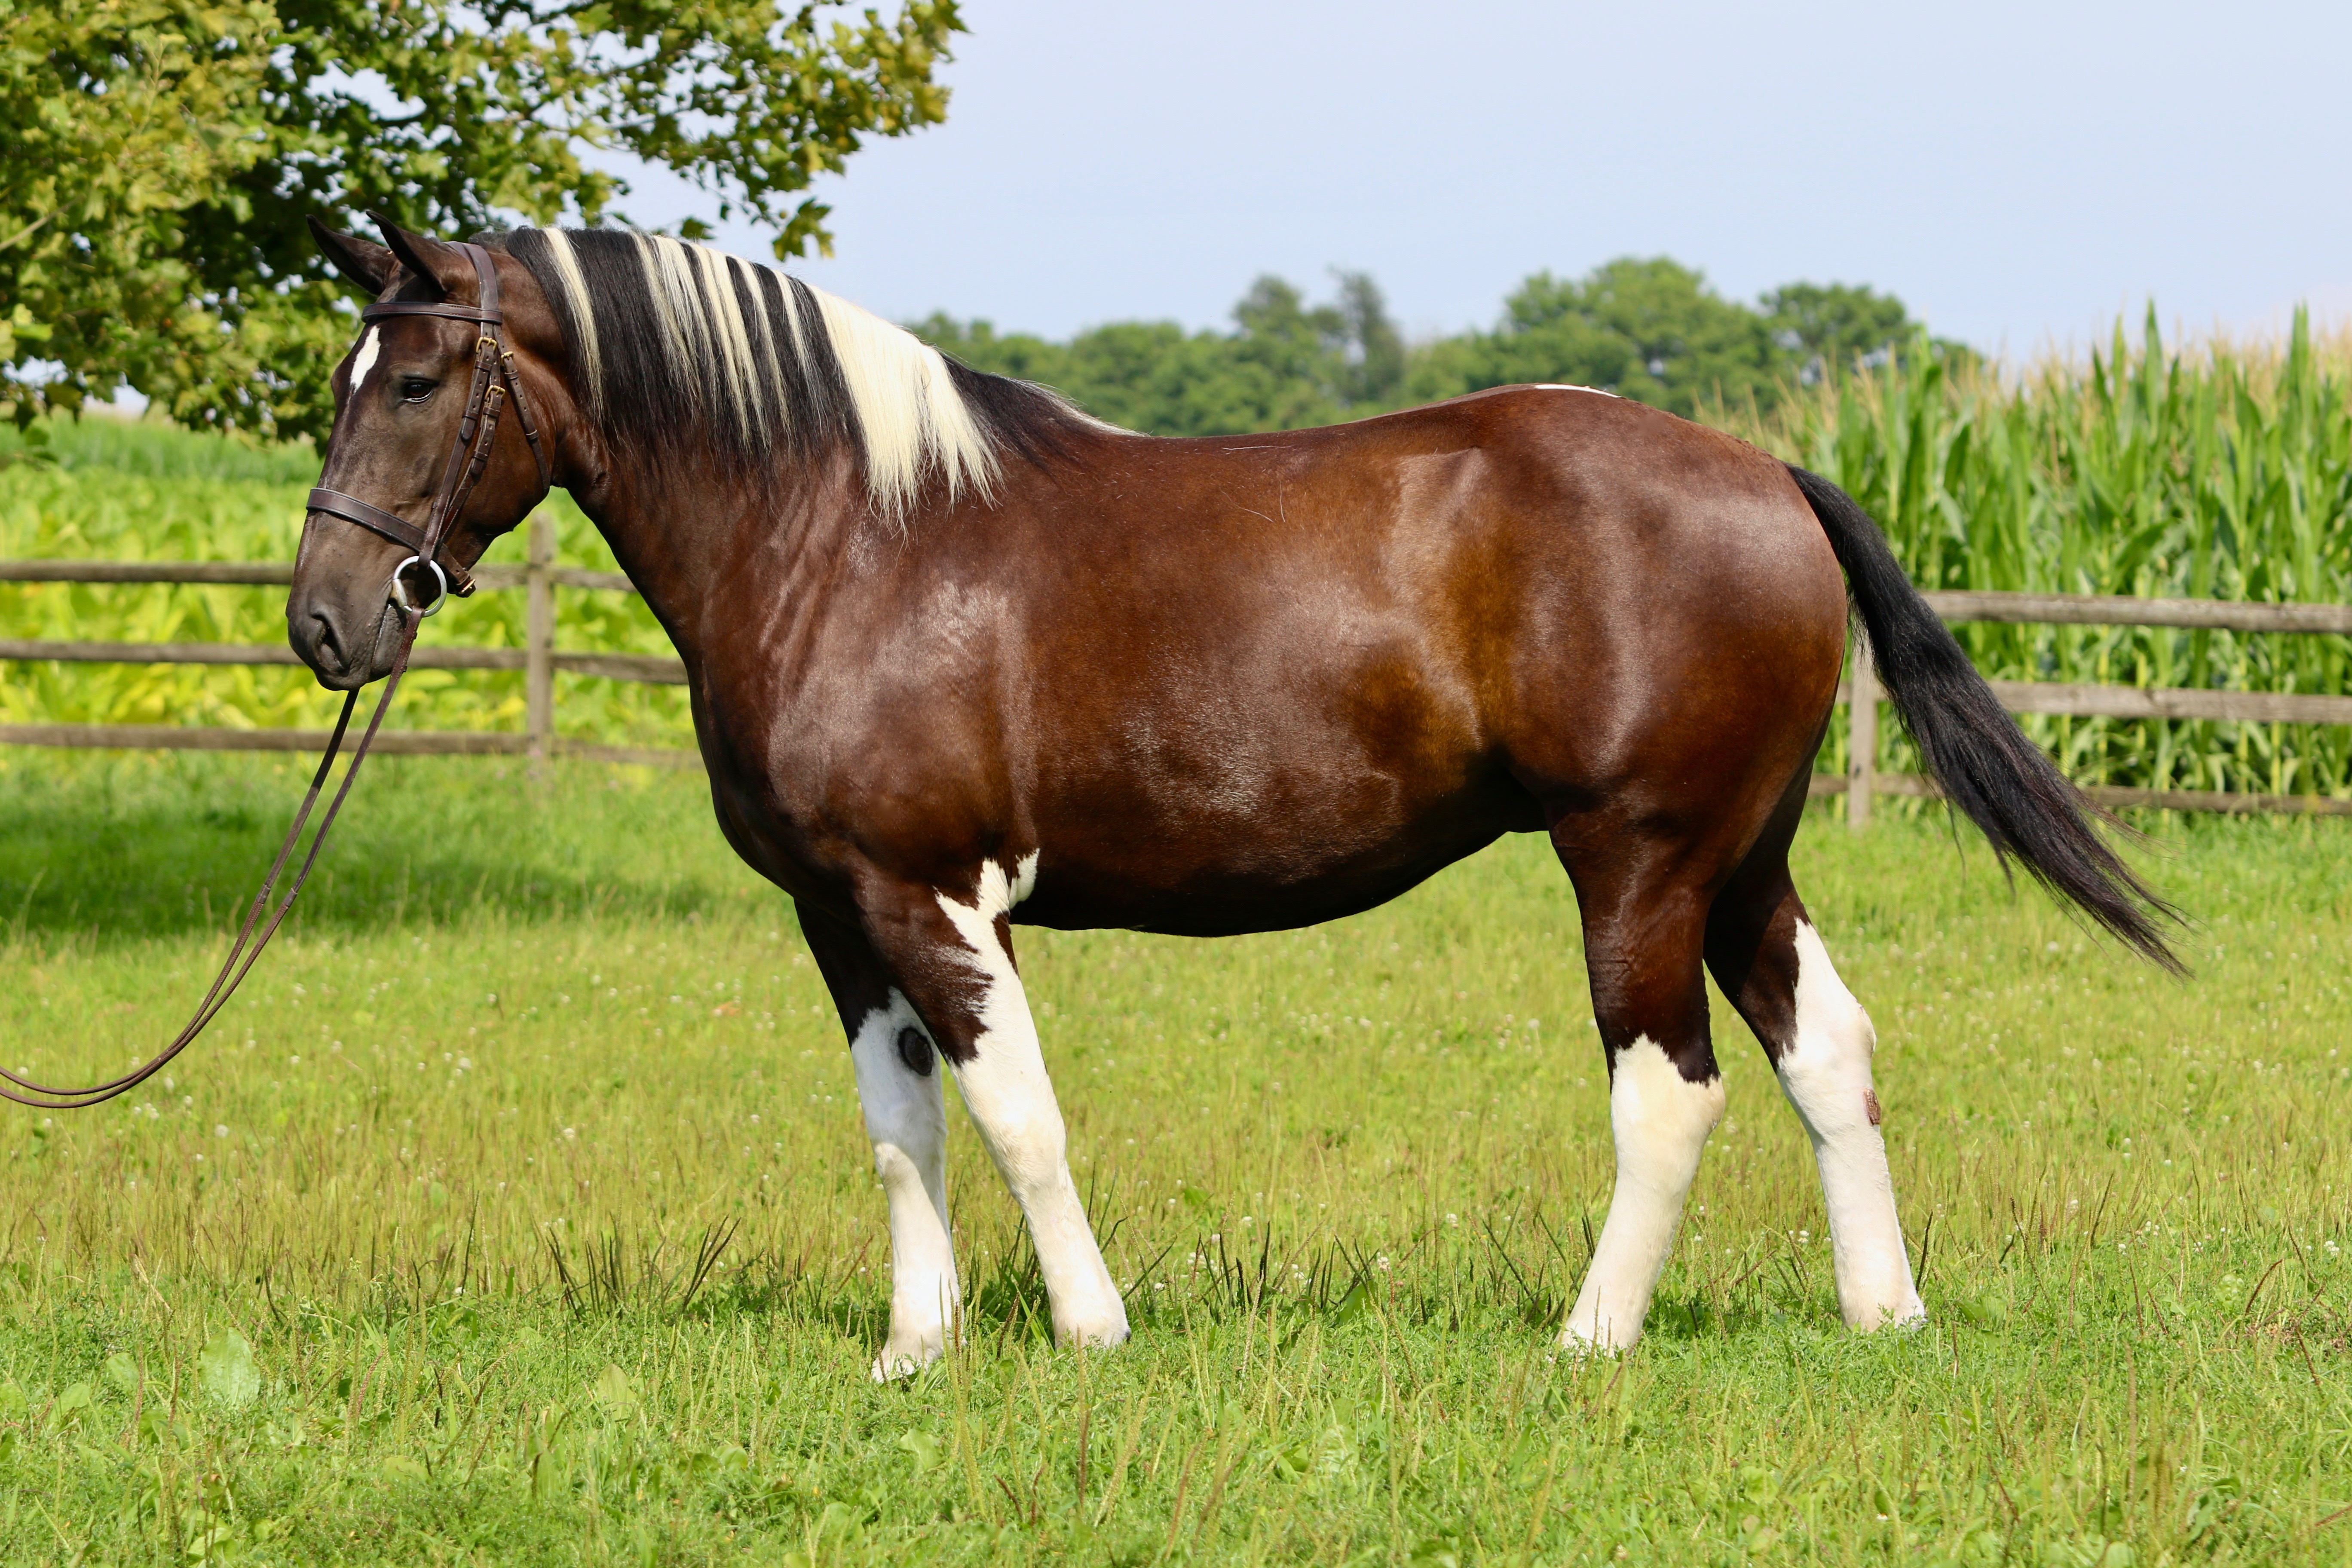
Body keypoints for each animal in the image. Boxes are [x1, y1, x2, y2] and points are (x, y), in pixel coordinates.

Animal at [288, 217, 2176, 1375]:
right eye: (341, 379)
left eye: (418, 379)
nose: (325, 622)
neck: (850, 536)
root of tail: (1767, 471)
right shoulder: (841, 914)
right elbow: (904, 1131)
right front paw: (914, 1349)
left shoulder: (933, 896)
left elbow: (1019, 1117)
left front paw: (1091, 1332)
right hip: (1741, 862)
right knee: (1829, 1055)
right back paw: (1883, 1315)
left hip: (1637, 861)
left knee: (1672, 1089)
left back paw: (1589, 1337)